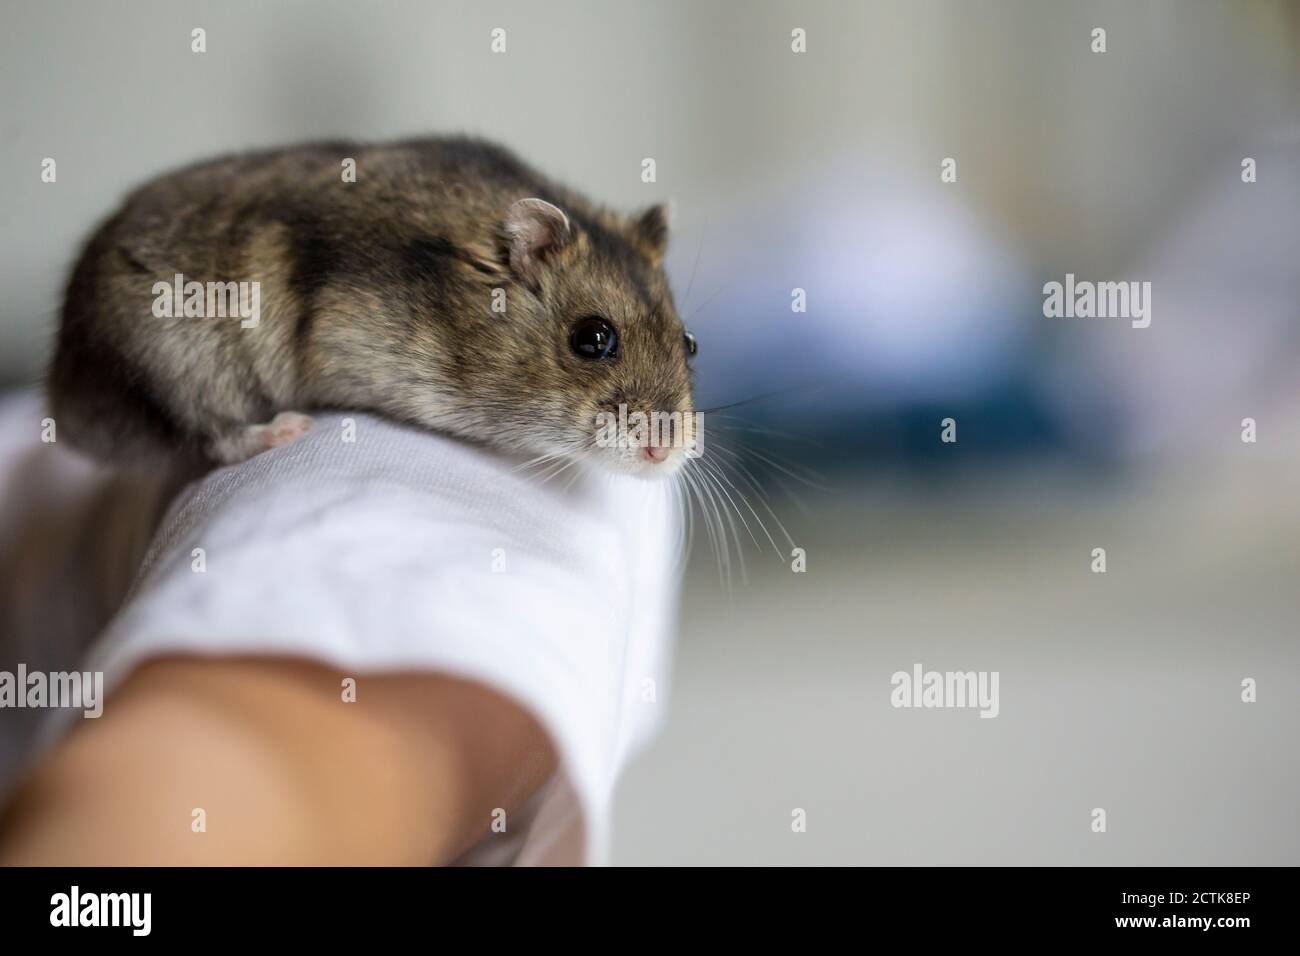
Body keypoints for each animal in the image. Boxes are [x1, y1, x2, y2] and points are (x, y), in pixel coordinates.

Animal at [48, 136, 698, 477]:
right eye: (593, 337)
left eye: (690, 344)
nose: (667, 453)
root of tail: (64, 393)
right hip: (172, 367)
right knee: (206, 439)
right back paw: (286, 429)